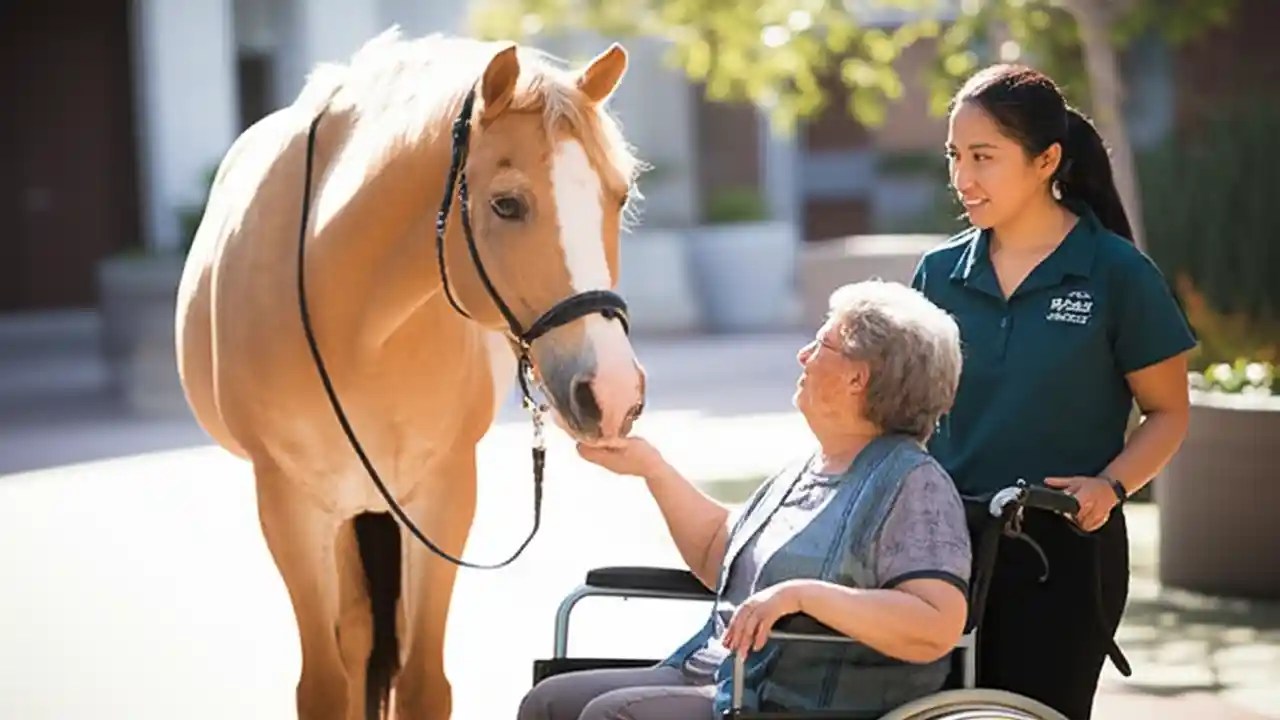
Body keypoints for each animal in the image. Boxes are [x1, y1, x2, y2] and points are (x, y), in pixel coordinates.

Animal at [174, 29, 648, 720]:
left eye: (620, 196)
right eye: (507, 204)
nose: (612, 393)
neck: (355, 325)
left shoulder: (442, 496)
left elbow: (423, 681)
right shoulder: (291, 507)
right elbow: (325, 685)